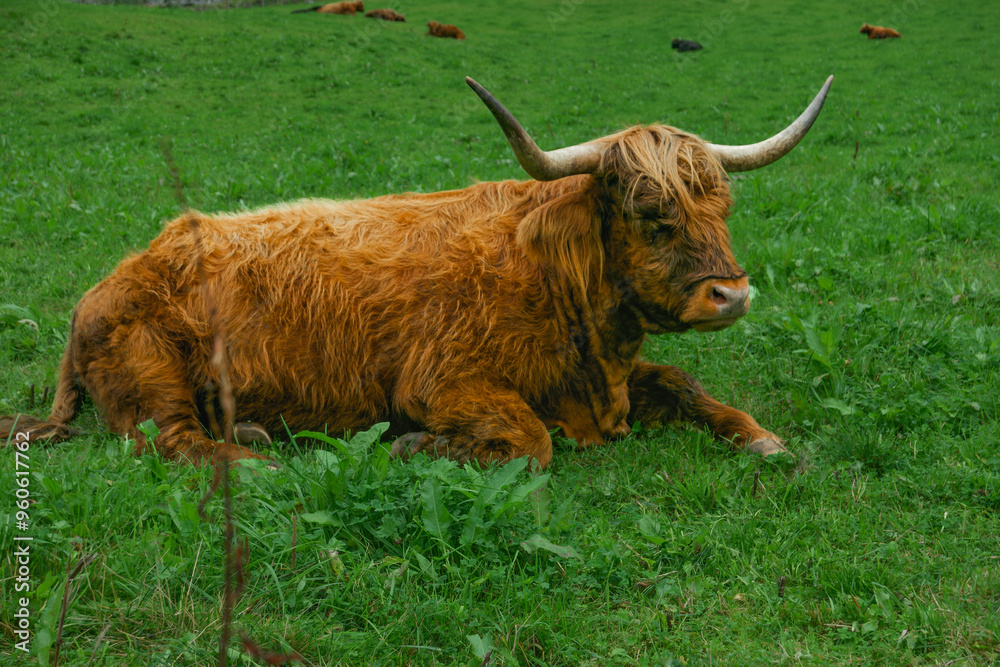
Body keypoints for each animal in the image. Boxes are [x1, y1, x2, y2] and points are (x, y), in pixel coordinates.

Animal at [0, 76, 833, 468]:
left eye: (722, 205)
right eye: (648, 212)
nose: (731, 293)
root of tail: (109, 282)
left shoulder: (621, 380)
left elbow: (687, 385)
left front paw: (762, 438)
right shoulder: (438, 381)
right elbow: (532, 439)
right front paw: (417, 448)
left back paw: (260, 432)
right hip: (153, 375)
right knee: (168, 439)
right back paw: (260, 461)